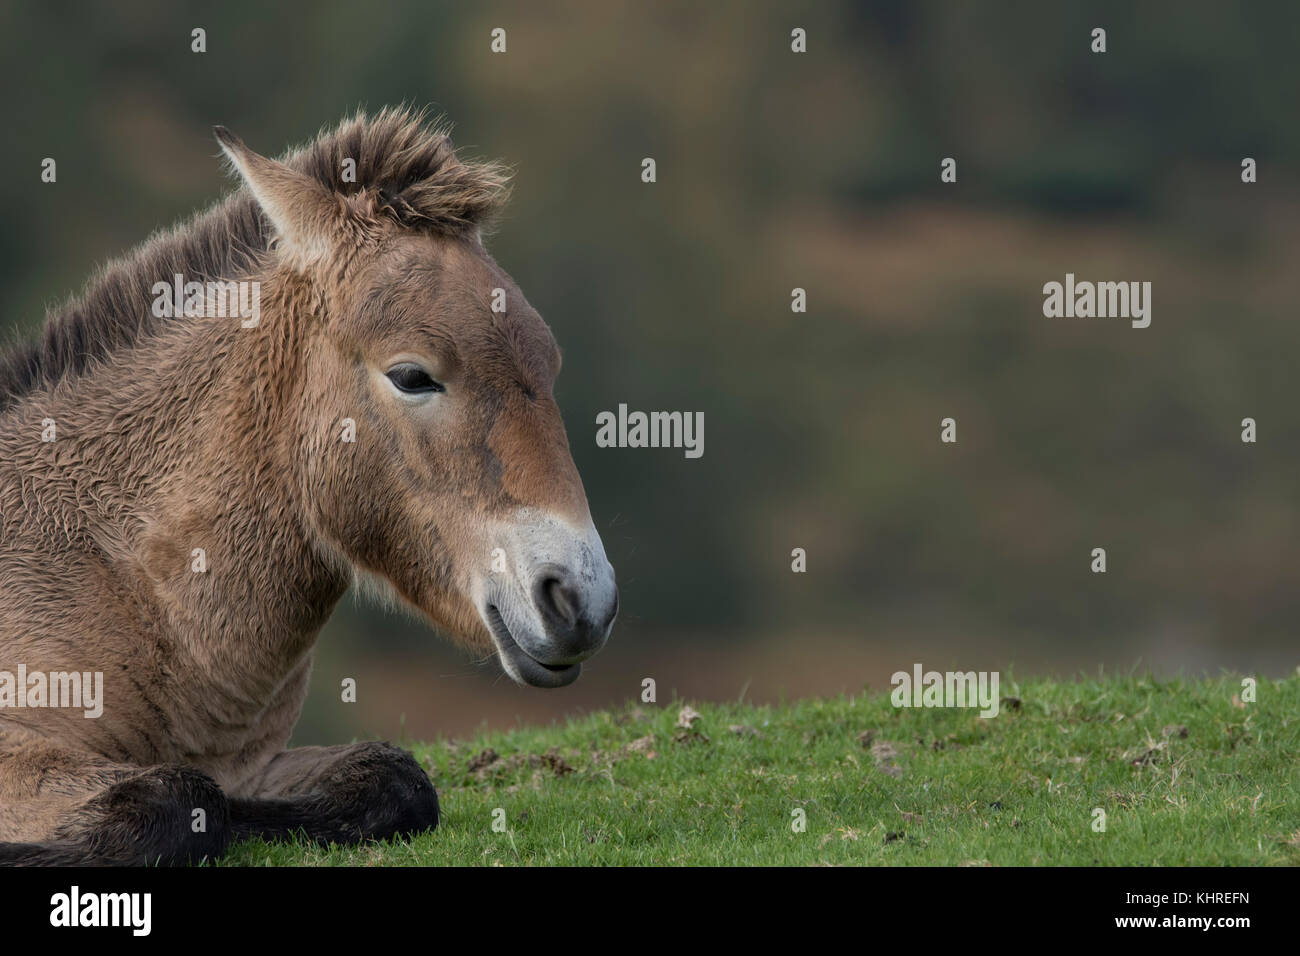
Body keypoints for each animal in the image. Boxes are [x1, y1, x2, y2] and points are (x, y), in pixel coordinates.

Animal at [0, 108, 618, 865]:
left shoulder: (254, 763)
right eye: (412, 375)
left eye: (550, 362)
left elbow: (391, 777)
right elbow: (175, 796)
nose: (581, 600)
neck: (121, 577)